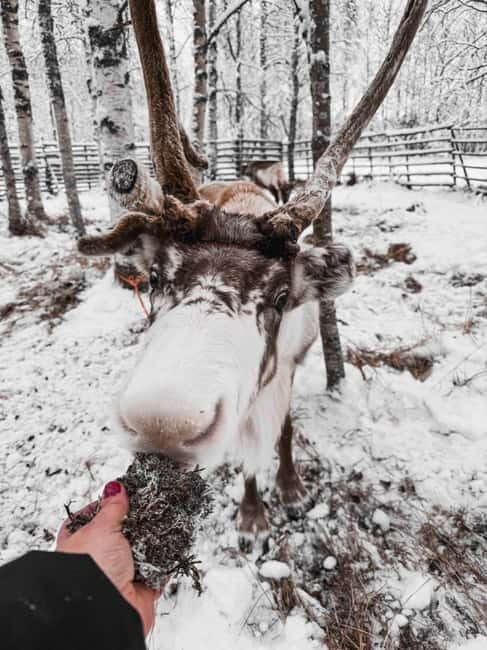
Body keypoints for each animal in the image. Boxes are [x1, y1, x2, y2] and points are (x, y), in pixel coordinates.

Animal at [77, 0, 427, 536]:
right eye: (155, 278)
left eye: (282, 296)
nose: (164, 424)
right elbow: (244, 454)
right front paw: (252, 514)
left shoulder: (287, 366)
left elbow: (283, 430)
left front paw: (290, 490)